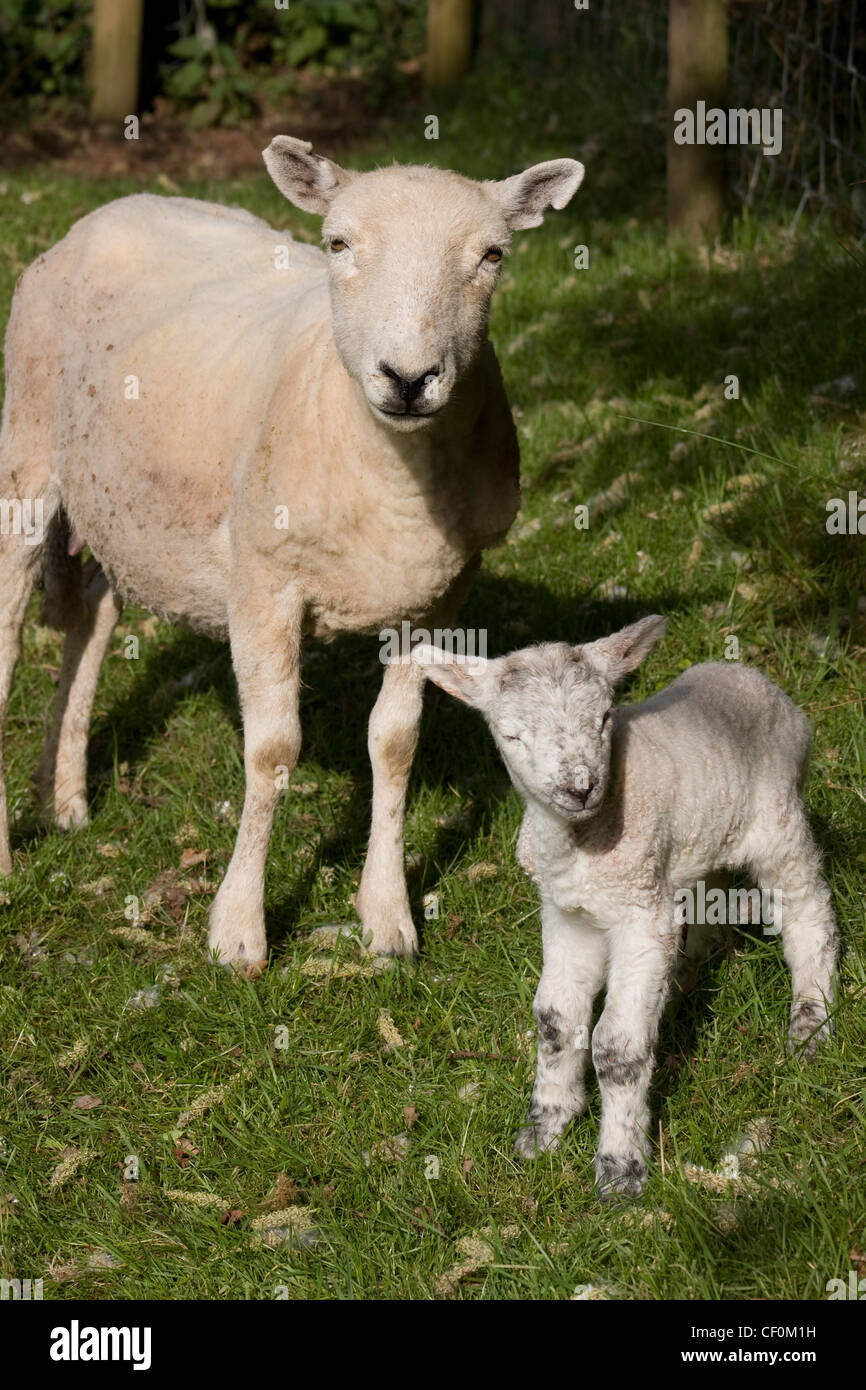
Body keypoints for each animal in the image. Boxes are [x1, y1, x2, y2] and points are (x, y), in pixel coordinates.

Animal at [0, 138, 585, 972]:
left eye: (493, 255)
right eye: (337, 244)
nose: (408, 378)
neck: (395, 481)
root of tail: (114, 206)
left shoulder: (434, 600)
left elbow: (396, 745)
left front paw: (387, 917)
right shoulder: (262, 587)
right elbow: (273, 751)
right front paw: (239, 931)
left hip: (120, 506)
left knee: (93, 614)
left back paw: (68, 796)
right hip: (27, 448)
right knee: (10, 634)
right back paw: (12, 852)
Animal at [412, 616, 839, 1200]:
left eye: (604, 718)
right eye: (513, 735)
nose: (580, 787)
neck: (583, 840)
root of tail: (759, 682)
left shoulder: (639, 914)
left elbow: (617, 1046)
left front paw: (620, 1170)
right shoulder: (566, 912)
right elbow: (554, 1019)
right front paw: (544, 1128)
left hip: (777, 822)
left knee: (808, 913)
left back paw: (811, 1025)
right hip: (698, 838)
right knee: (708, 902)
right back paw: (685, 976)